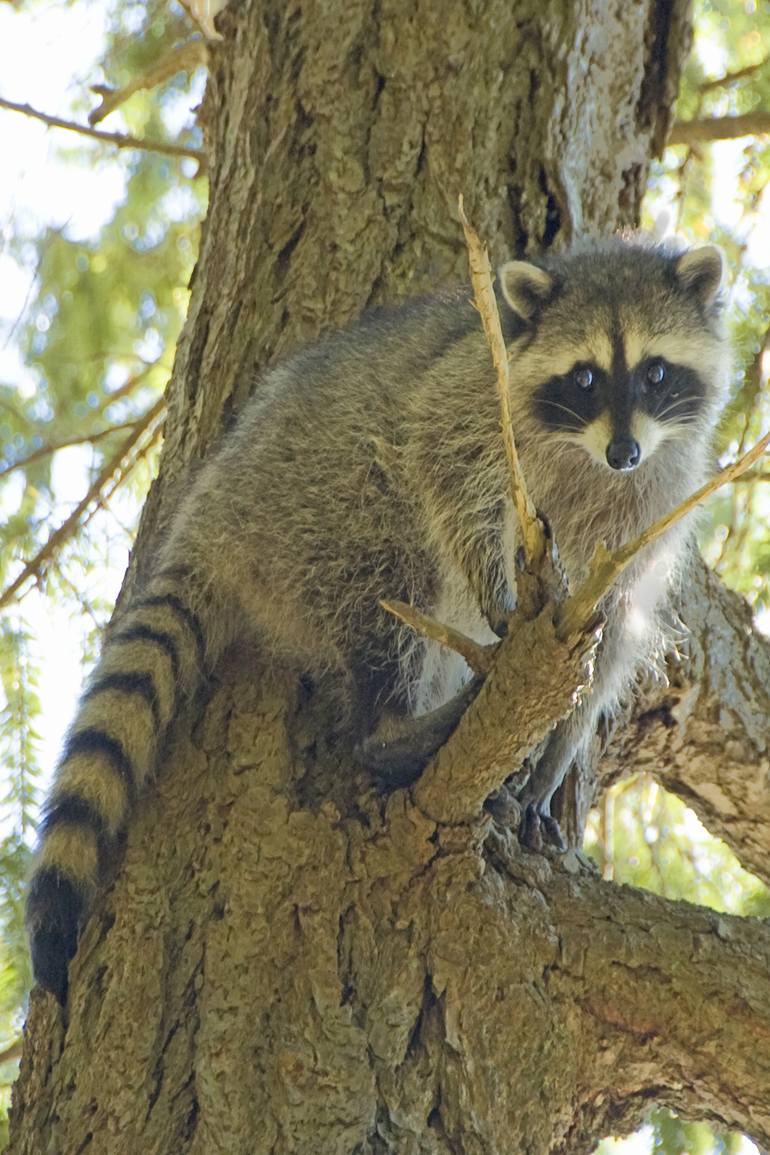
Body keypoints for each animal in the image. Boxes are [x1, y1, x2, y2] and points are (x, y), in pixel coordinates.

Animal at [26, 237, 728, 1001]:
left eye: (655, 372)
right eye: (586, 379)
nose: (624, 453)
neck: (587, 457)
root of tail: (214, 509)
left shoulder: (650, 512)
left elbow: (614, 632)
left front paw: (557, 753)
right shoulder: (476, 395)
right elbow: (441, 463)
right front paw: (495, 590)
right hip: (326, 500)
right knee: (393, 572)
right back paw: (397, 726)